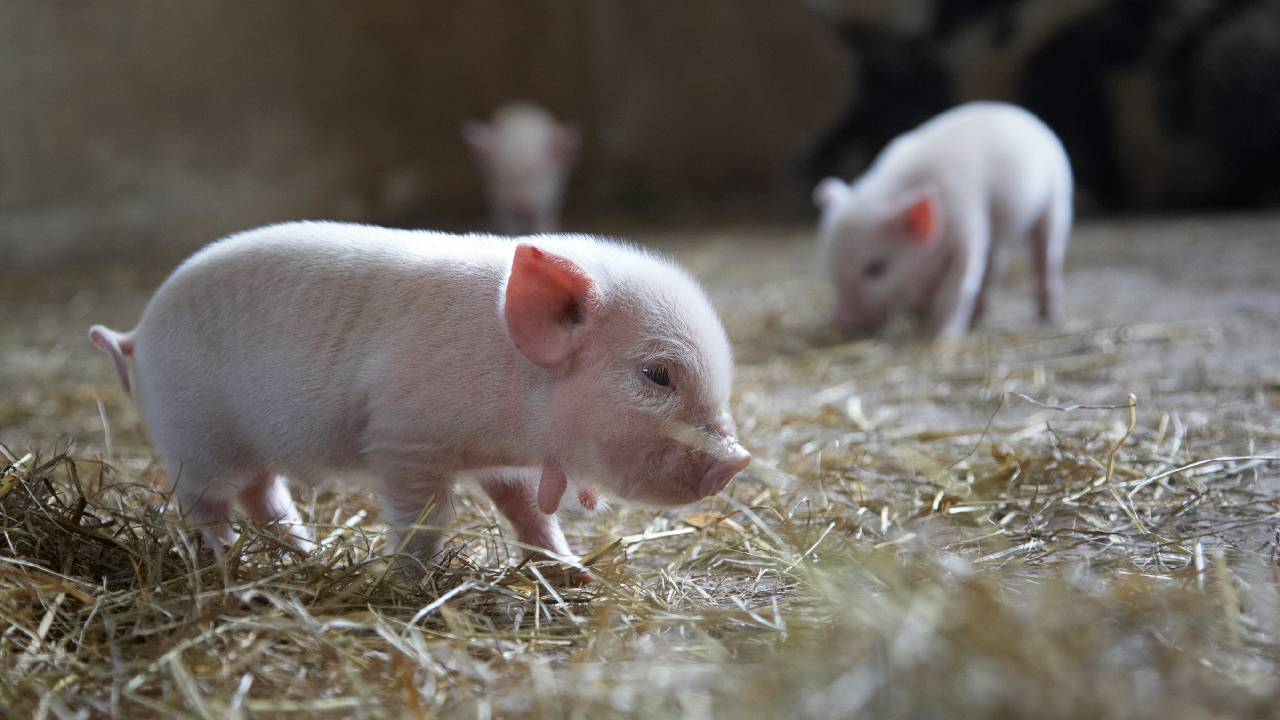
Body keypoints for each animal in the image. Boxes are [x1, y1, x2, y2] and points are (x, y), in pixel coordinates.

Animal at [88, 222, 750, 574]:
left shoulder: (501, 460)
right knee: (208, 506)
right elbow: (427, 518)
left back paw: (306, 556)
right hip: (191, 438)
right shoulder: (404, 436)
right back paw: (232, 565)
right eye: (657, 374)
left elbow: (528, 510)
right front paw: (407, 580)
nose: (736, 460)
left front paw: (570, 573)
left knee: (264, 494)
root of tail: (137, 333)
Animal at [463, 103, 581, 236]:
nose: (520, 205)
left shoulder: (549, 199)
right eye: (501, 176)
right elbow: (508, 223)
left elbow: (542, 218)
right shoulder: (499, 201)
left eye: (539, 175)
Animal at [813, 101, 1073, 339]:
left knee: (1046, 255)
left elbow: (957, 285)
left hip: (1057, 200)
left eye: (876, 268)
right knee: (996, 265)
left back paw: (1049, 314)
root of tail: (1031, 119)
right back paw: (979, 316)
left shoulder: (969, 224)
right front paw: (923, 319)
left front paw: (944, 336)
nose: (841, 321)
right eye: (832, 266)